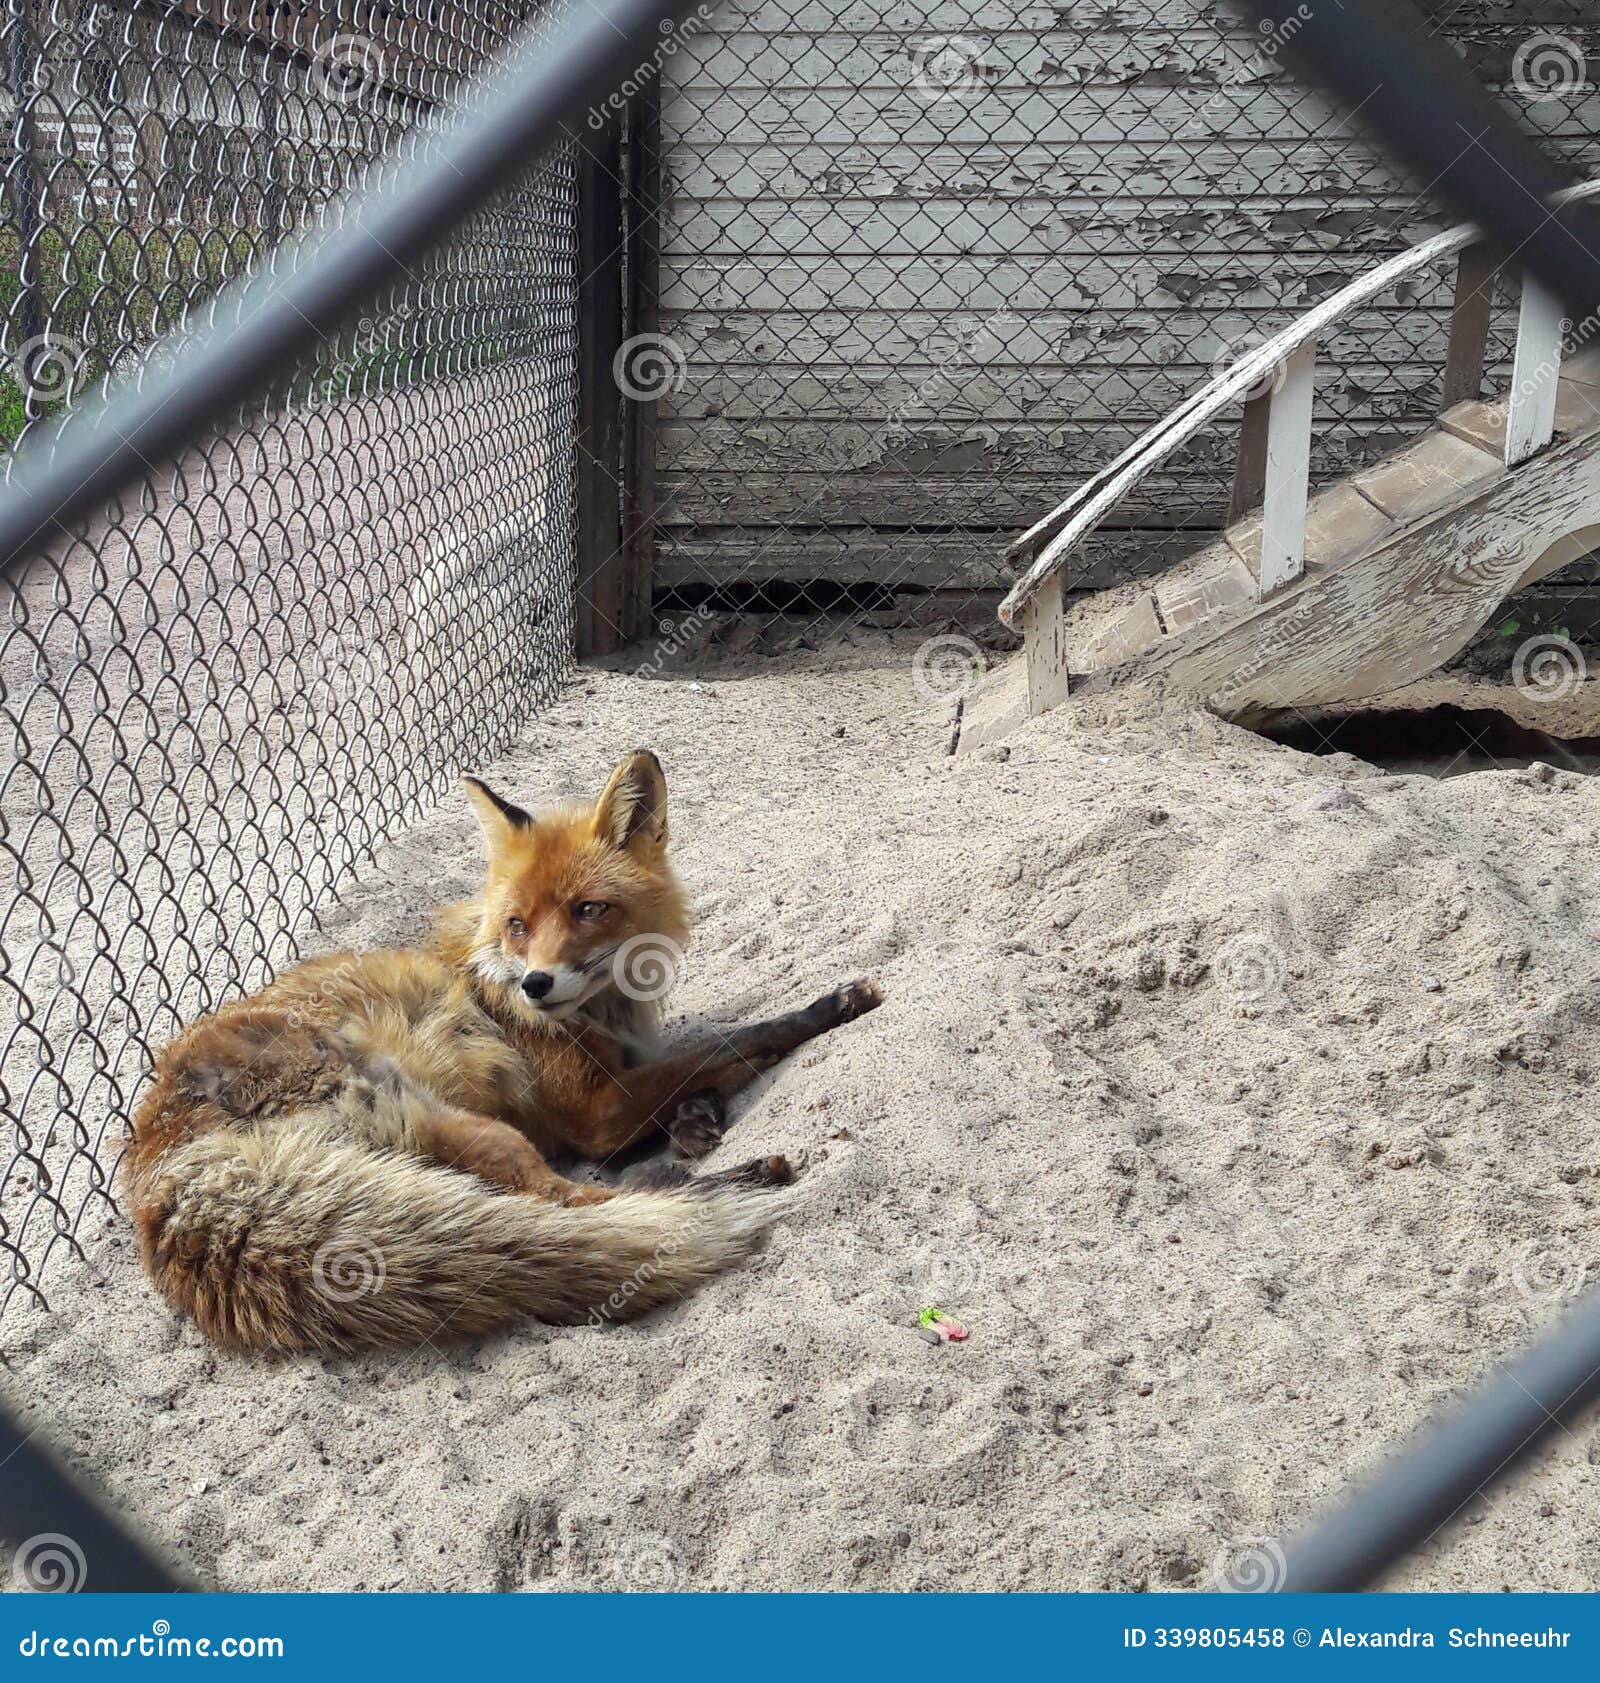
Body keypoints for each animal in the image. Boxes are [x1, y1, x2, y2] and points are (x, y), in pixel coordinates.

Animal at [124, 750, 882, 1354]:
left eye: (587, 910)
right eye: (518, 925)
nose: (535, 983)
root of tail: (160, 1176)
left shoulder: (623, 1073)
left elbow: (695, 1069)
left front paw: (696, 1118)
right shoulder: (594, 1111)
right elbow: (739, 1038)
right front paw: (833, 1005)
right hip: (453, 1117)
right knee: (573, 1202)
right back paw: (736, 1180)